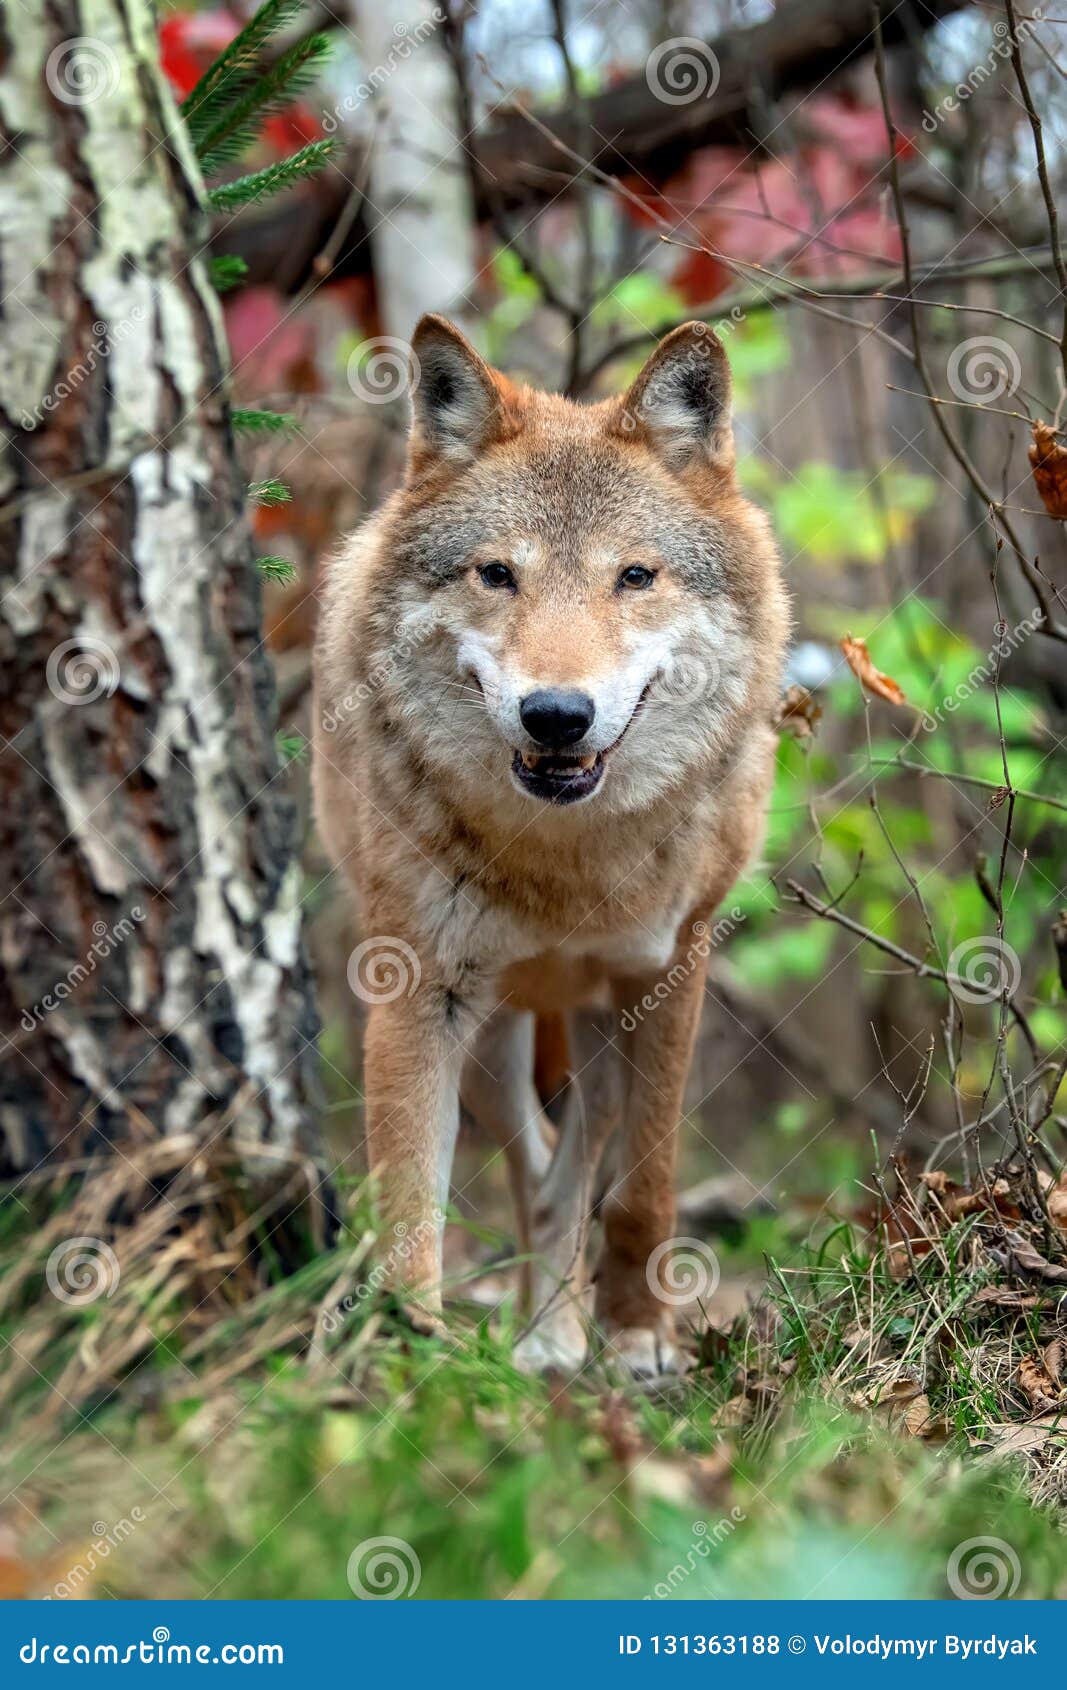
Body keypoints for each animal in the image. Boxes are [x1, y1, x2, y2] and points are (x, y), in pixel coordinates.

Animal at [313, 315, 788, 1375]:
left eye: (634, 576)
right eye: (497, 574)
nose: (557, 715)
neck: (566, 864)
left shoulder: (670, 974)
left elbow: (644, 1188)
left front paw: (639, 1333)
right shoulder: (419, 989)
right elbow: (410, 1203)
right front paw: (407, 1355)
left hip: (595, 1036)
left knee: (571, 1175)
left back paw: (559, 1332)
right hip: (494, 1043)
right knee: (533, 1172)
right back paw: (539, 1337)